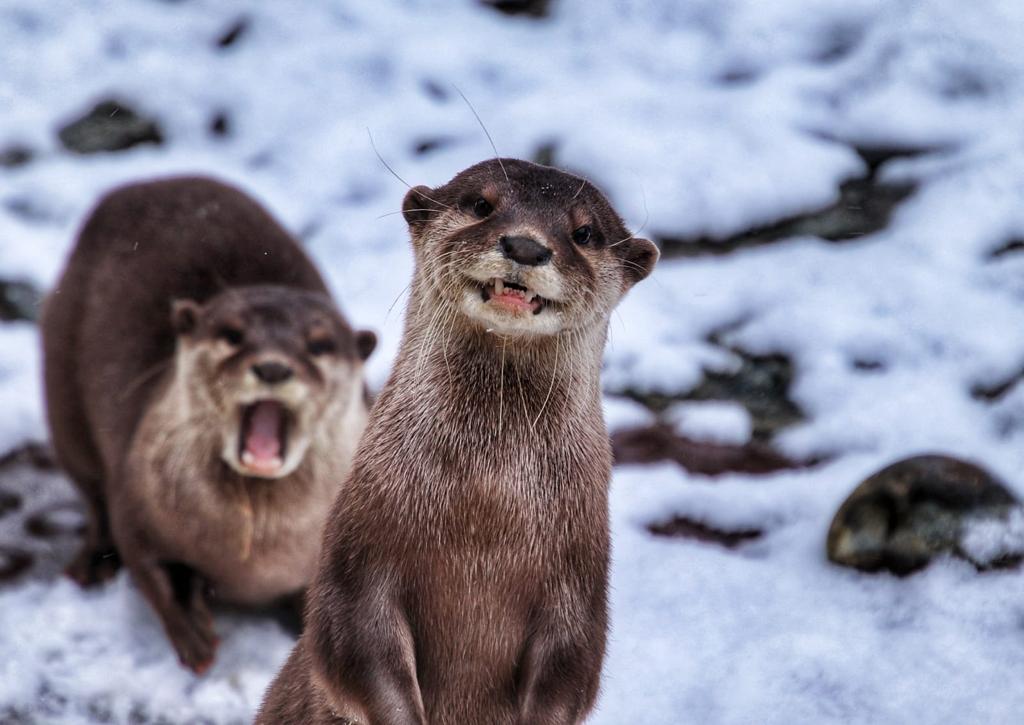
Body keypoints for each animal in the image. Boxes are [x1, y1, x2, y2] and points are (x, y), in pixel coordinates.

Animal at [41, 177, 376, 672]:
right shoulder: (136, 497)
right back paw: (92, 565)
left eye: (318, 345)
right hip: (63, 391)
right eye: (232, 335)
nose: (273, 367)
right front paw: (193, 630)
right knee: (92, 495)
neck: (258, 560)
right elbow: (149, 565)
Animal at [258, 159, 658, 723]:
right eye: (482, 205)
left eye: (584, 233)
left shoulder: (579, 588)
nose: (526, 246)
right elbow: (354, 651)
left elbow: (572, 673)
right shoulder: (358, 561)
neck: (486, 506)